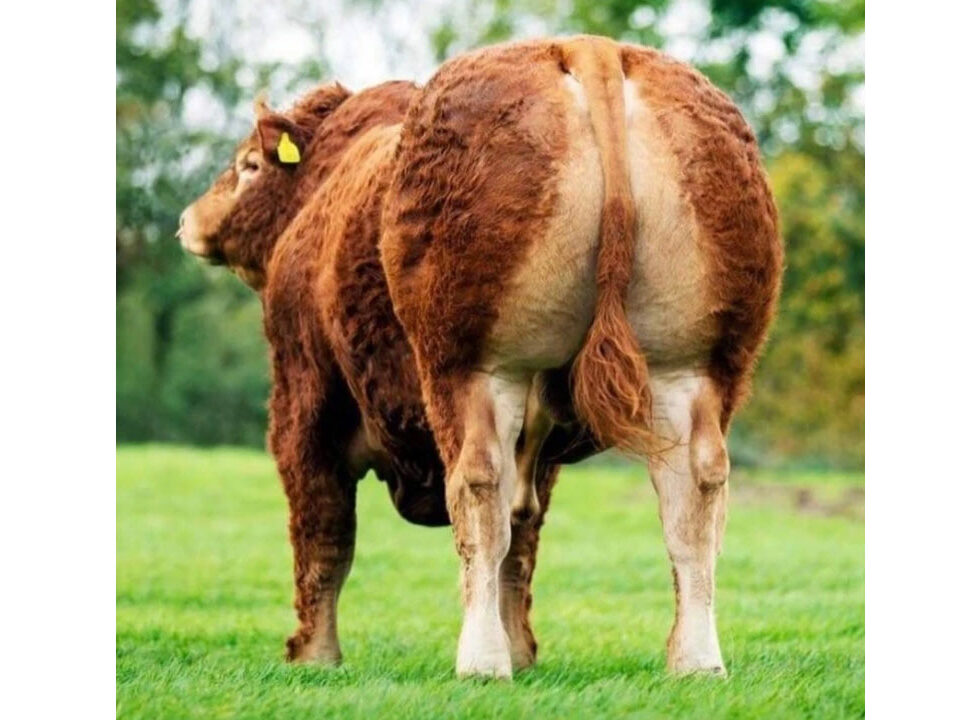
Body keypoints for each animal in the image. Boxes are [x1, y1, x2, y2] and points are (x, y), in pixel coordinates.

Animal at [178, 34, 782, 680]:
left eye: (249, 164)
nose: (189, 219)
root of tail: (588, 46)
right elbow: (524, 540)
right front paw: (523, 648)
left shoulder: (302, 398)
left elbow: (323, 534)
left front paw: (314, 656)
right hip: (689, 369)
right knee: (692, 498)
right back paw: (694, 660)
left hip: (472, 367)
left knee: (478, 488)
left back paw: (481, 659)